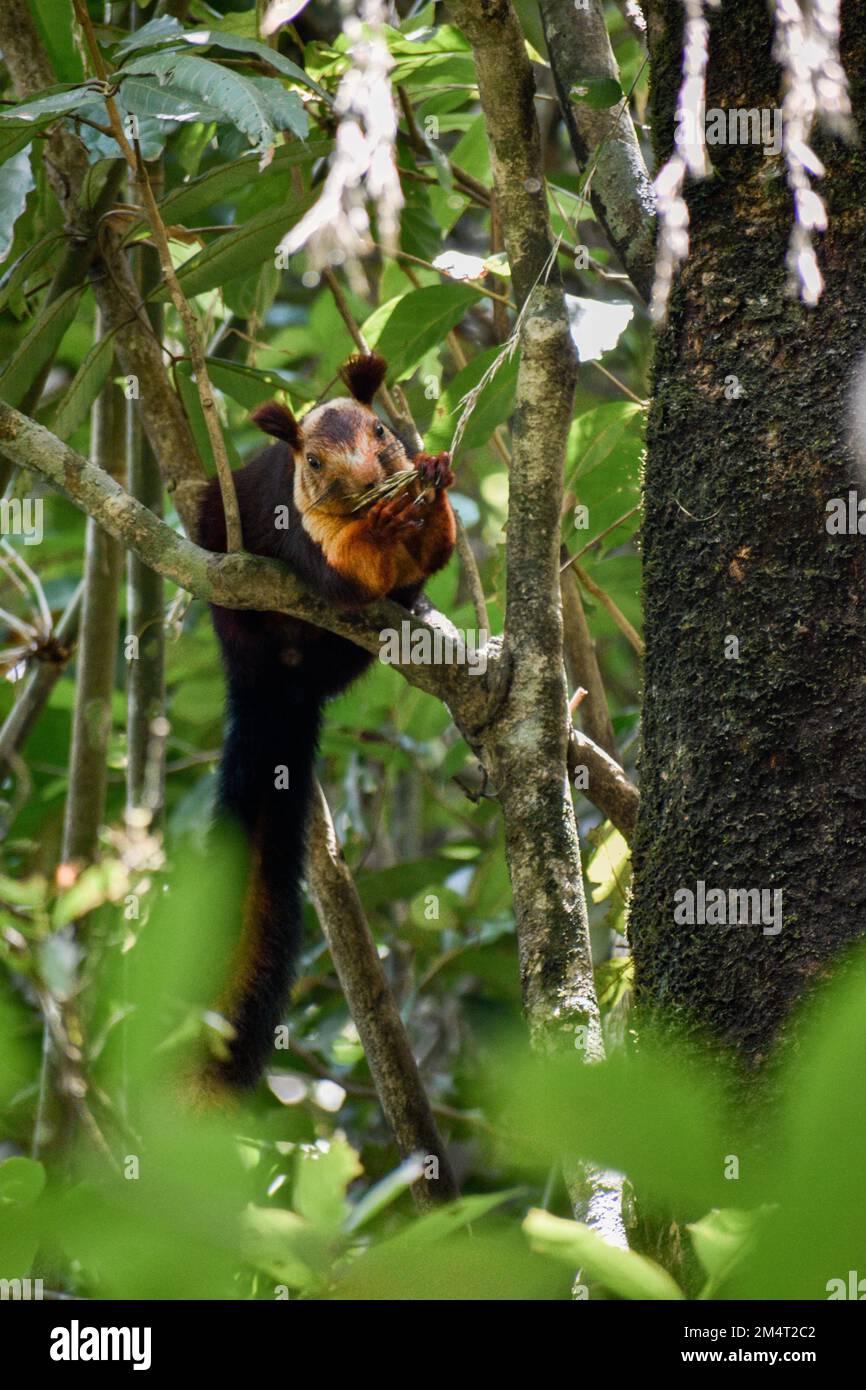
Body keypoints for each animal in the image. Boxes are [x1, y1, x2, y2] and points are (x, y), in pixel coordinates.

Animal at [196, 352, 455, 1090]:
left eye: (382, 431)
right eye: (312, 462)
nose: (370, 482)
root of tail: (273, 684)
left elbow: (437, 550)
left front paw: (431, 481)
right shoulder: (304, 539)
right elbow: (348, 576)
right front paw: (384, 522)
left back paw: (414, 602)